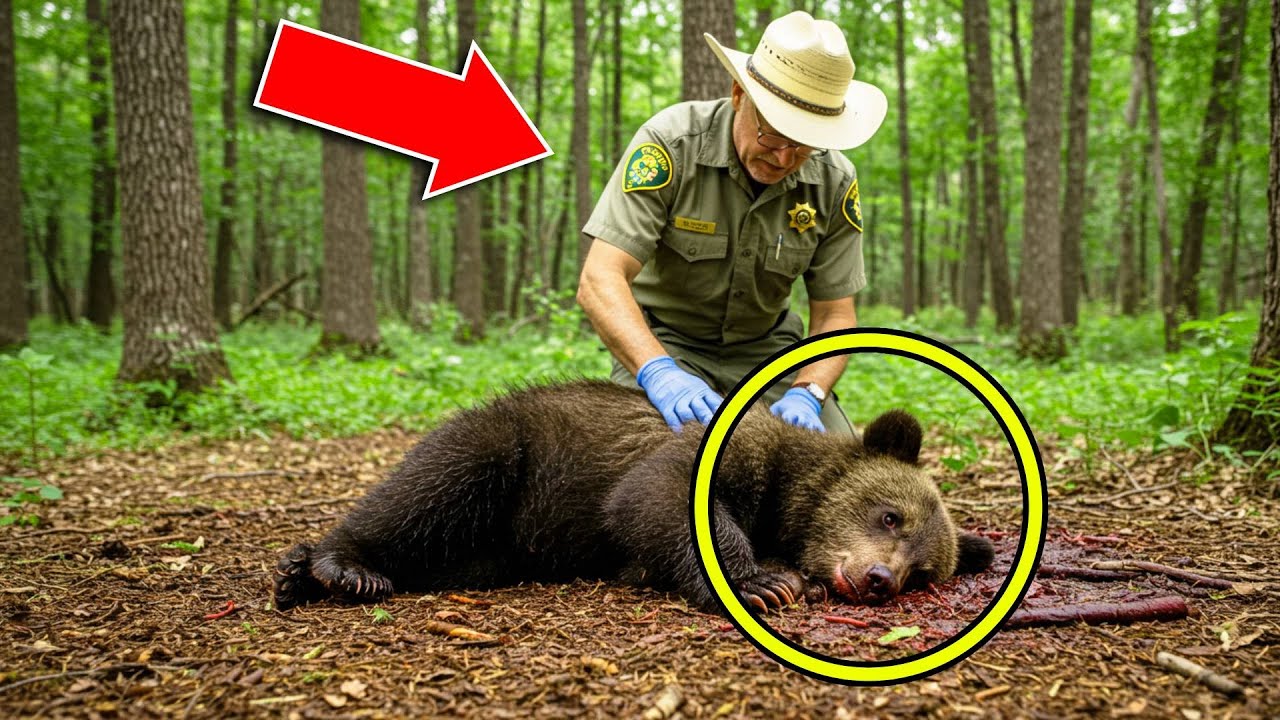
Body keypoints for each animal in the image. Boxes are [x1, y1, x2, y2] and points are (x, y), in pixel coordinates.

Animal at [273, 380, 994, 613]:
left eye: (923, 572)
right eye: (890, 514)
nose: (878, 579)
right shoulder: (723, 450)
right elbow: (653, 495)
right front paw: (763, 583)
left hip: (502, 550)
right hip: (511, 449)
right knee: (431, 488)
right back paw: (335, 567)